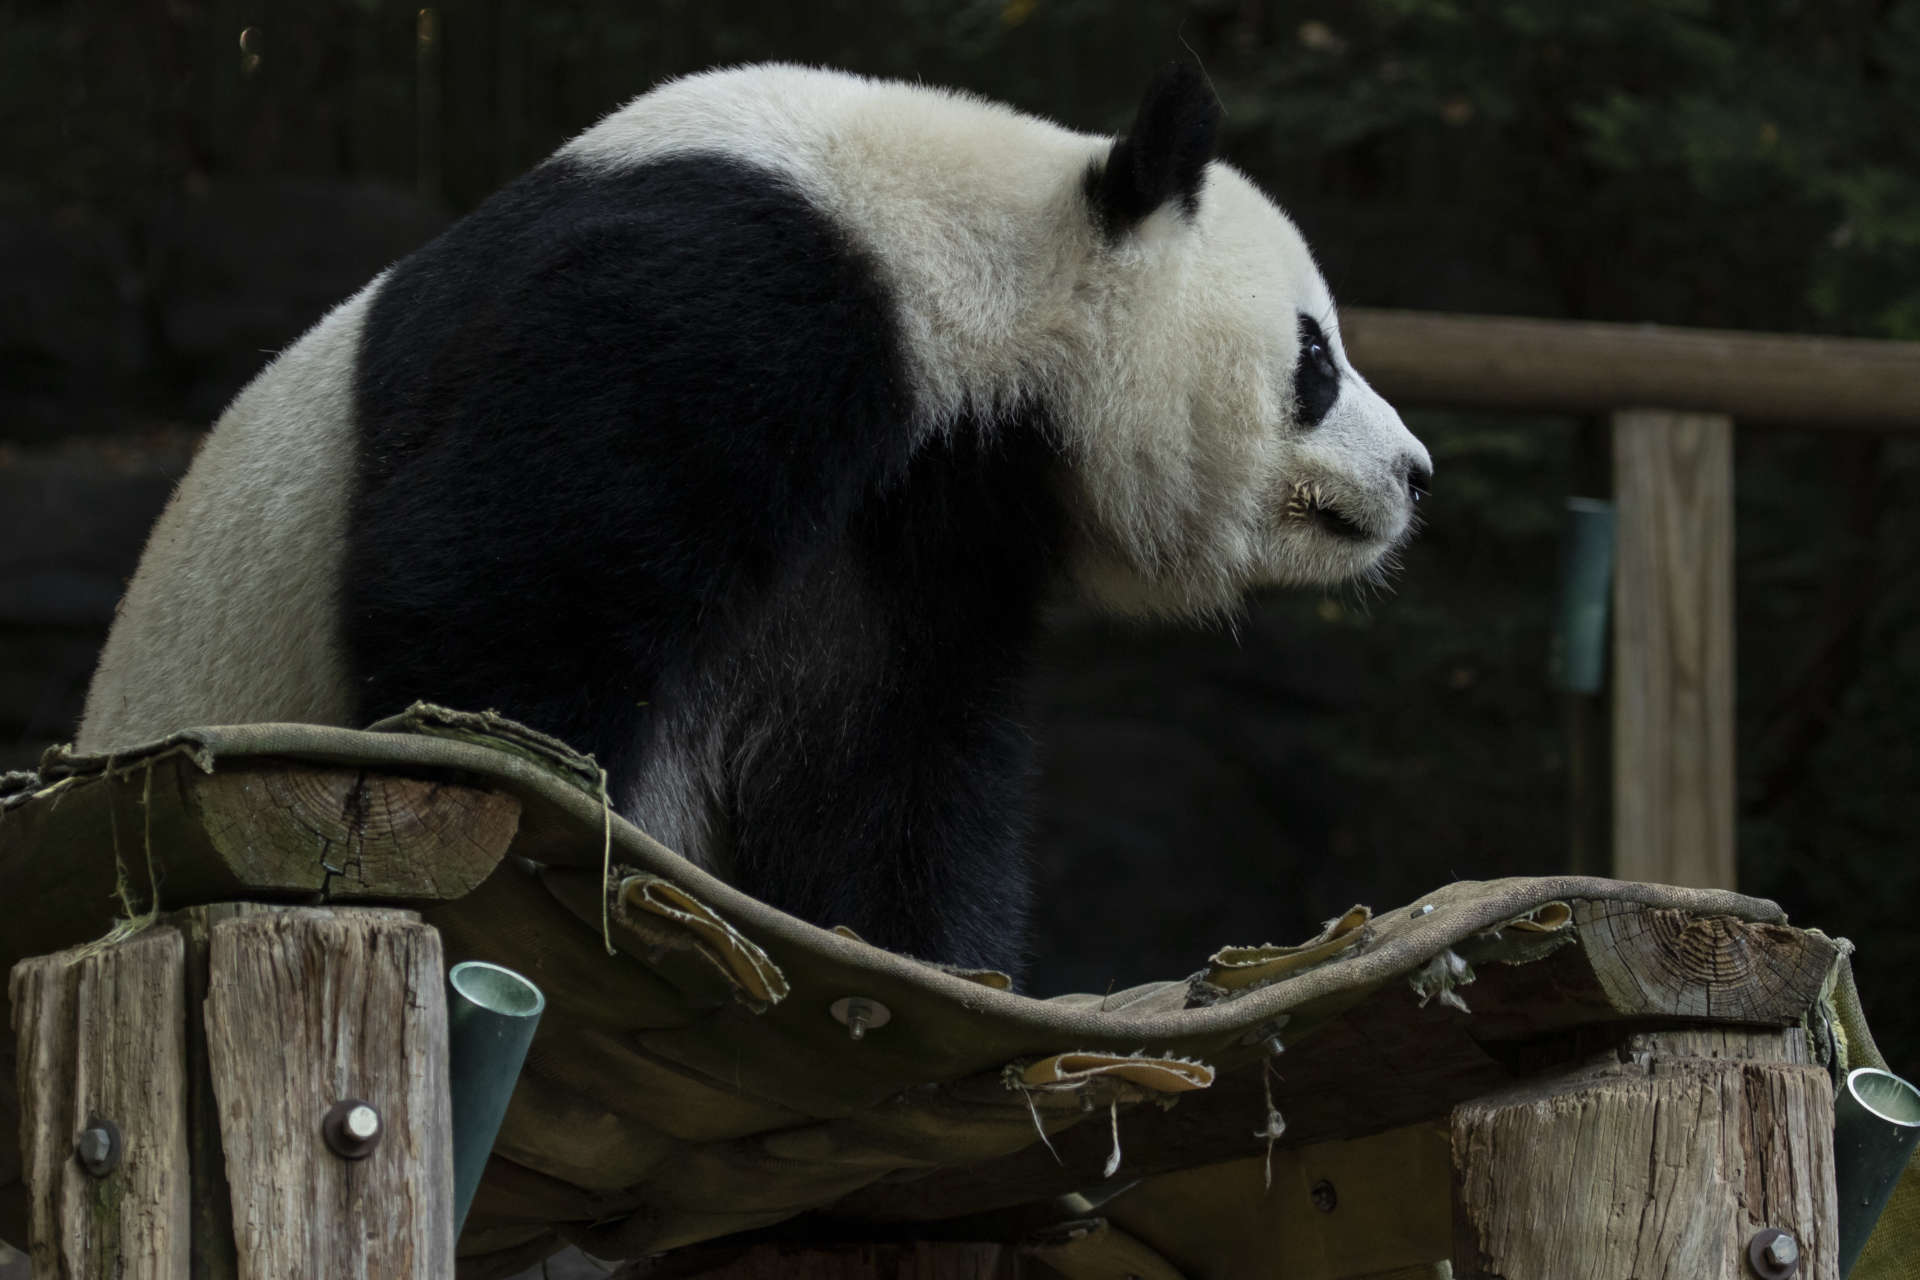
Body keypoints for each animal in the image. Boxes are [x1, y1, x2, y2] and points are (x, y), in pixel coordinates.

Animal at [78, 63, 1430, 977]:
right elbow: (492, 610)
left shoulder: (915, 526)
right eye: (1316, 357)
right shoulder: (715, 303)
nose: (1415, 473)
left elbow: (884, 763)